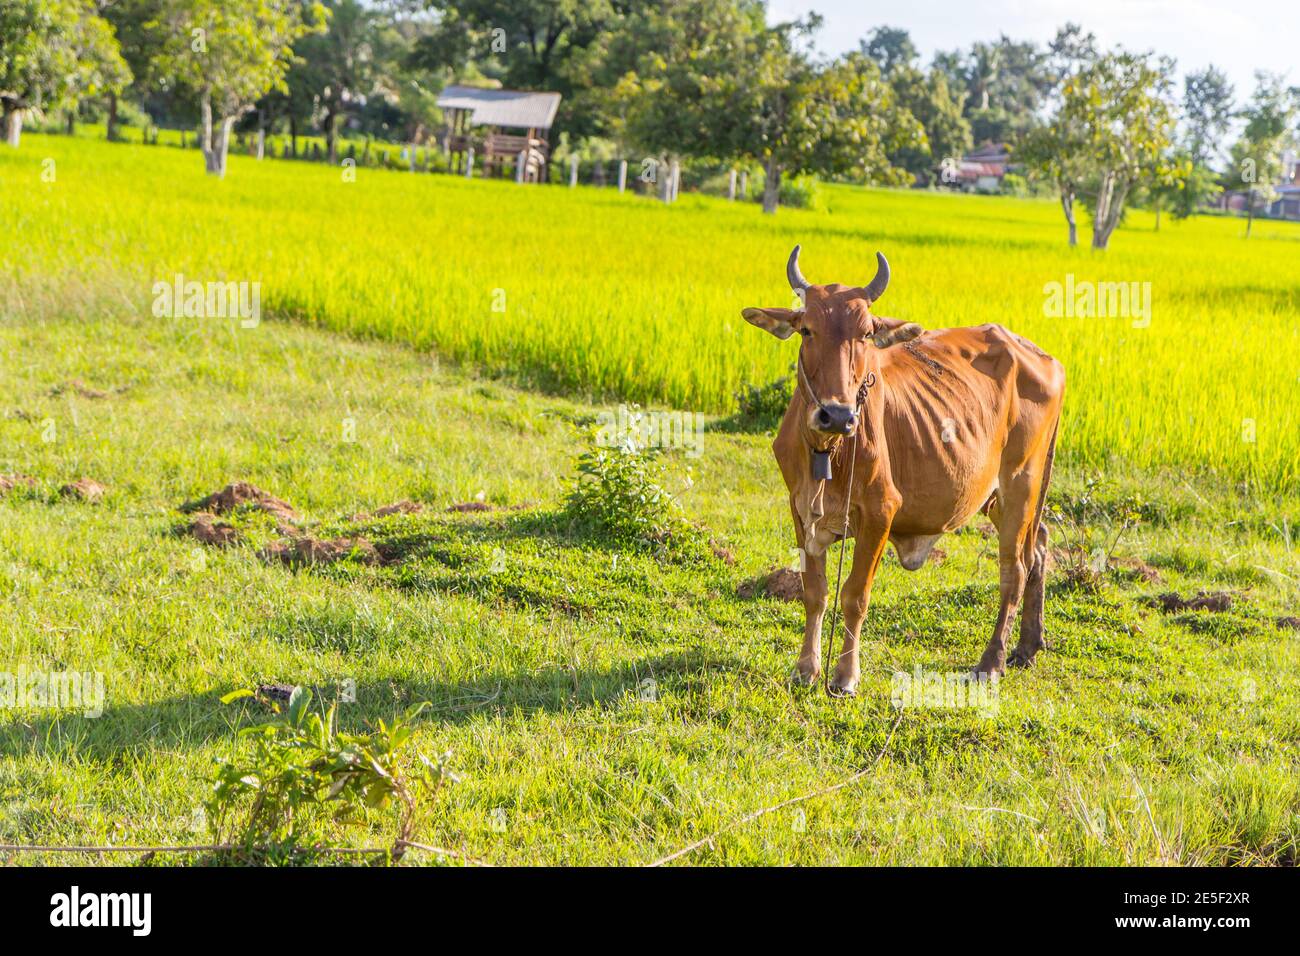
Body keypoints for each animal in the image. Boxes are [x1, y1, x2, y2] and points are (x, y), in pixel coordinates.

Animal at [741, 246, 1064, 696]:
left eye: (865, 333)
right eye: (806, 330)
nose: (836, 415)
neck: (828, 450)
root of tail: (1042, 357)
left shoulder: (881, 512)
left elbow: (854, 595)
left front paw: (845, 676)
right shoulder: (800, 509)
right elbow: (815, 593)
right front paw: (806, 668)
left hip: (1022, 484)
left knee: (1014, 569)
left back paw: (992, 661)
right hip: (997, 497)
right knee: (1038, 548)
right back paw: (1028, 647)